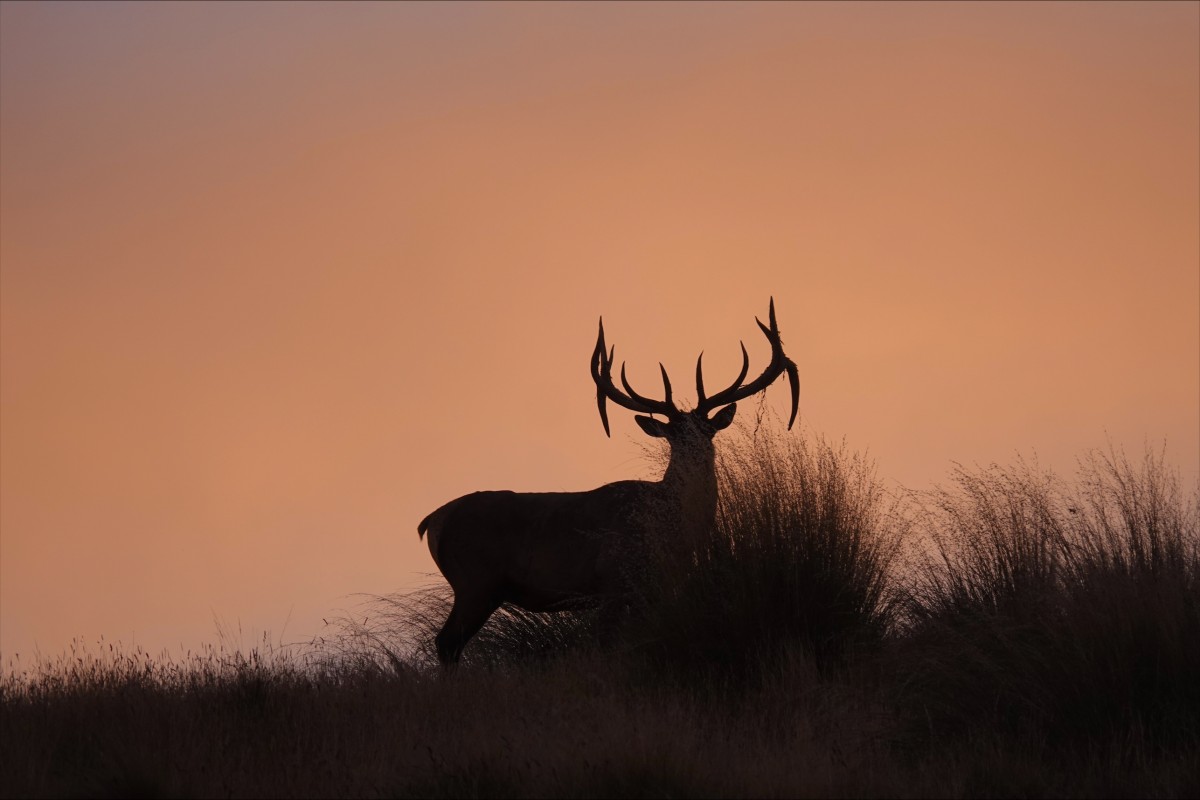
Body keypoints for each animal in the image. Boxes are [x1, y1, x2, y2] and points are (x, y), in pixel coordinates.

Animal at [417, 299, 799, 665]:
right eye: (673, 435)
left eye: (708, 429)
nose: (694, 450)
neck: (670, 523)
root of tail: (432, 520)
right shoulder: (613, 580)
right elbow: (607, 646)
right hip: (475, 581)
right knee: (447, 642)